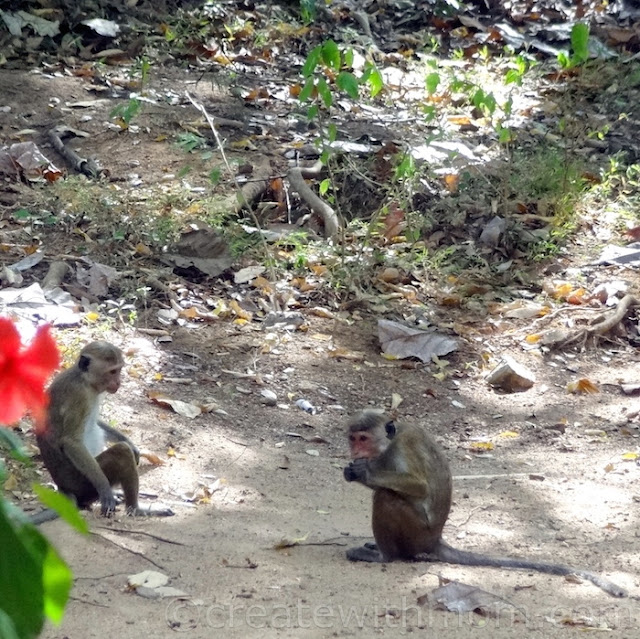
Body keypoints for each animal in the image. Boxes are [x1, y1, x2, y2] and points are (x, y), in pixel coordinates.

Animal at [33, 341, 172, 523]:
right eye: (112, 371)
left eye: (119, 370)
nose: (118, 382)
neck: (84, 380)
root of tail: (63, 488)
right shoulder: (79, 396)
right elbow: (71, 442)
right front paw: (105, 489)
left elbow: (97, 422)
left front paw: (133, 446)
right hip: (82, 483)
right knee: (121, 452)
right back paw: (135, 509)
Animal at [343, 410, 626, 598]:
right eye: (352, 439)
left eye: (363, 439)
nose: (355, 452)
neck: (389, 443)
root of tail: (435, 539)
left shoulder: (403, 447)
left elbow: (420, 486)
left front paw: (366, 472)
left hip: (416, 533)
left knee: (386, 497)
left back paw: (385, 555)